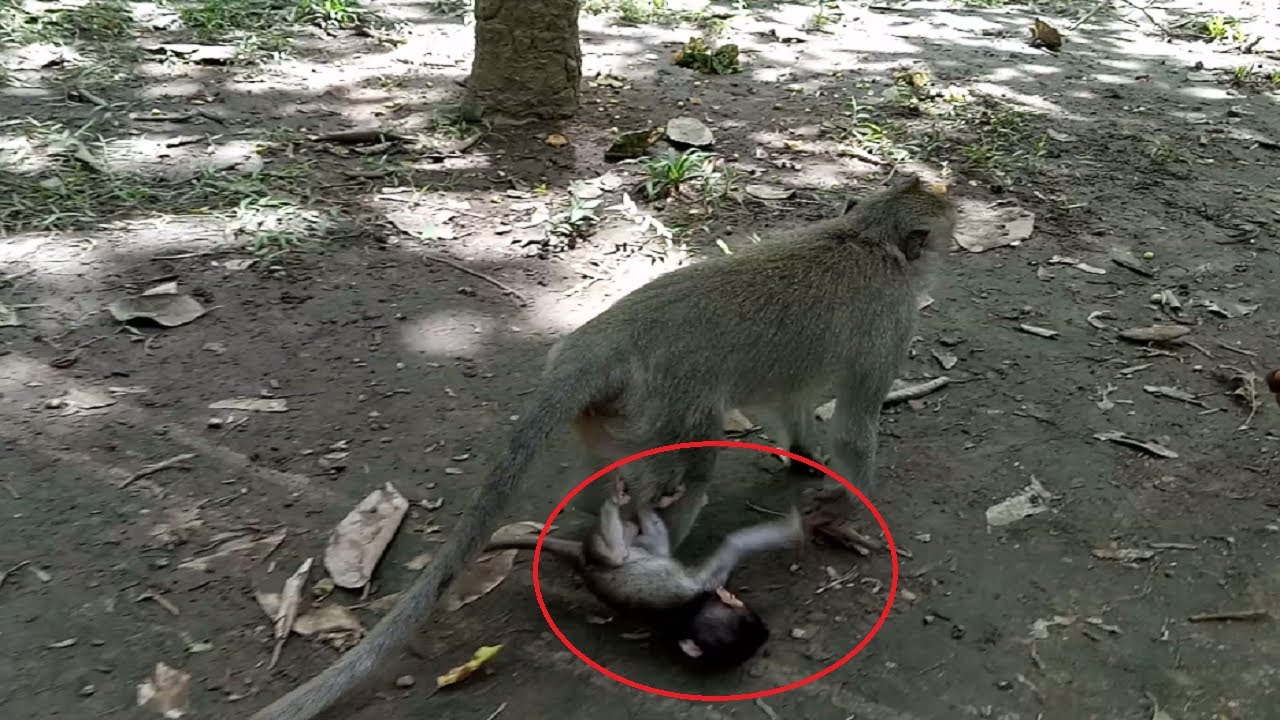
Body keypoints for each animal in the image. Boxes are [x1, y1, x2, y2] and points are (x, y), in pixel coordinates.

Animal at [485, 477, 802, 669]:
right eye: (750, 622)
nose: (766, 633)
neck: (691, 613)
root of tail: (582, 558)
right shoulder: (702, 584)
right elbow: (733, 545)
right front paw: (793, 528)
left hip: (624, 547)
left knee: (646, 537)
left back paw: (648, 504)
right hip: (604, 552)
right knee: (618, 551)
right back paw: (621, 503)